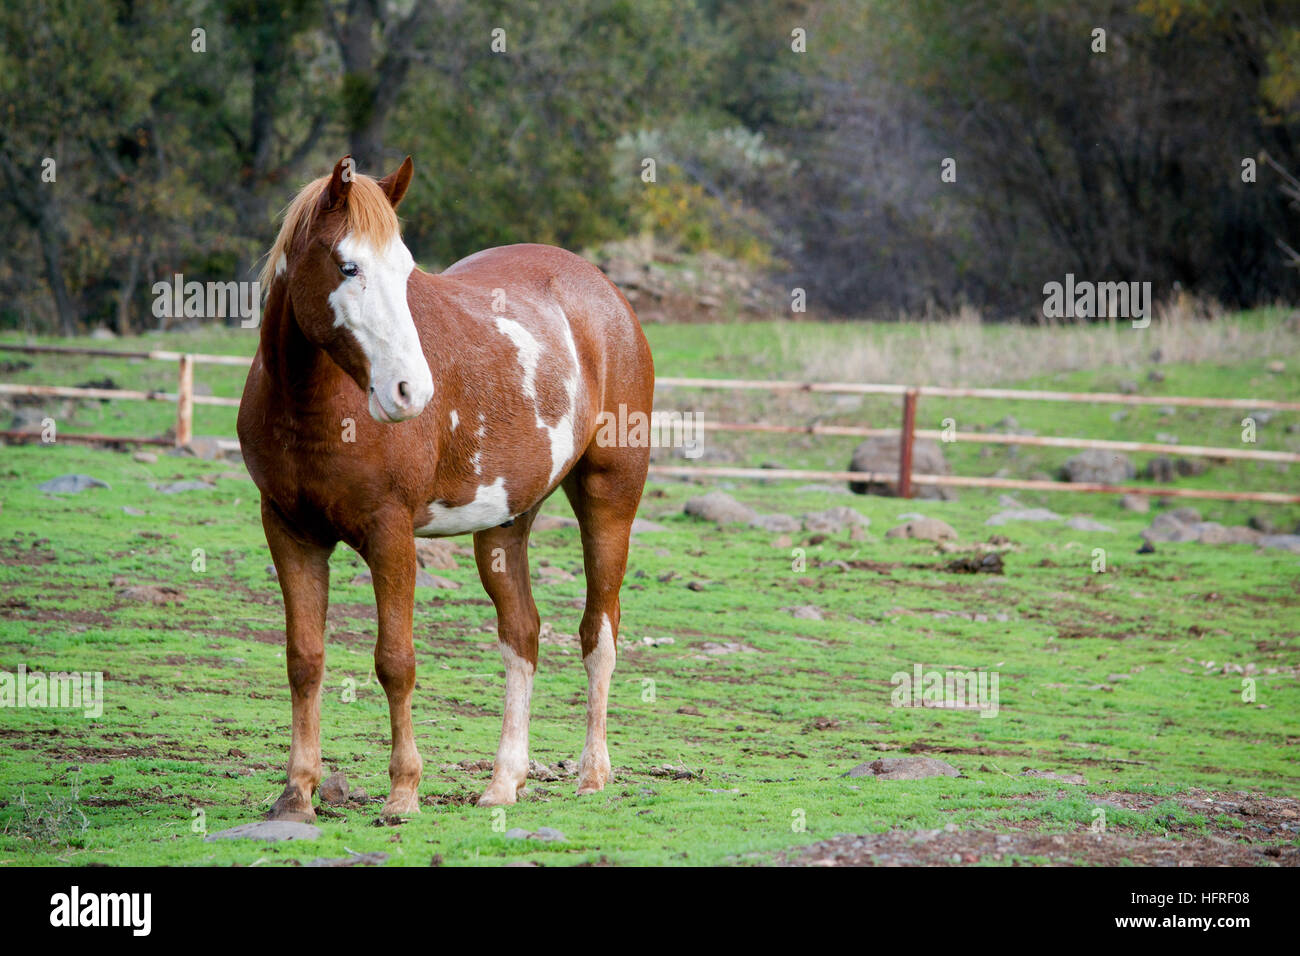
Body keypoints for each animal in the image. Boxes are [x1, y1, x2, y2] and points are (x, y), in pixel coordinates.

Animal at [237, 155, 654, 817]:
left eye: (406, 269)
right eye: (348, 266)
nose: (411, 390)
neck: (312, 406)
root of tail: (606, 294)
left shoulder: (390, 534)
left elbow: (395, 662)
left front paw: (403, 793)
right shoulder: (289, 532)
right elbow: (304, 660)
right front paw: (296, 793)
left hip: (610, 500)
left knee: (599, 633)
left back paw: (593, 773)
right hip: (505, 522)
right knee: (522, 635)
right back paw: (504, 781)